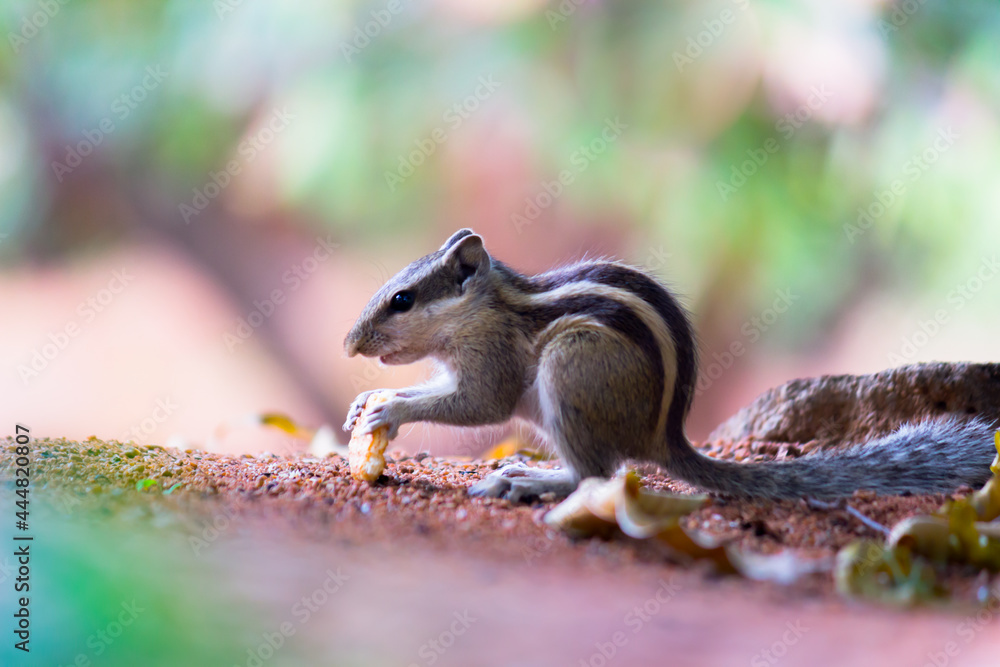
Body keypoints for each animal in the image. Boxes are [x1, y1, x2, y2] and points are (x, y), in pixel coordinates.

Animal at [343, 229, 997, 501]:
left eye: (402, 300)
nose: (350, 344)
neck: (485, 306)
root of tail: (663, 438)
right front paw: (365, 404)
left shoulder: (492, 360)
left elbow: (479, 404)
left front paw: (389, 412)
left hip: (570, 369)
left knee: (594, 476)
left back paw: (530, 482)